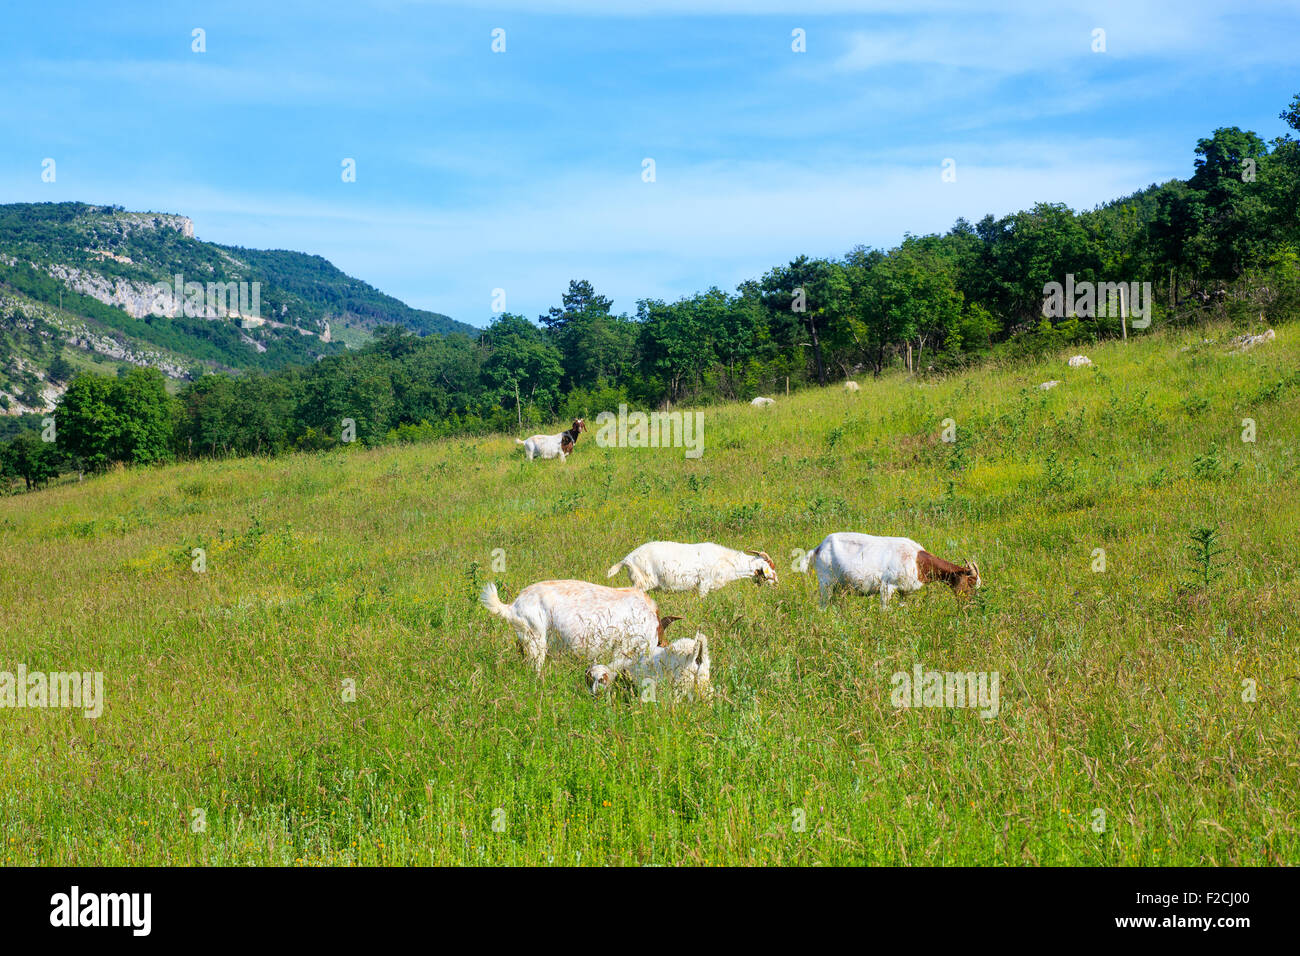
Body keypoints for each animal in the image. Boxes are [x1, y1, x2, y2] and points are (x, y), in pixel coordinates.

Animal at [796, 533, 980, 608]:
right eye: (971, 583)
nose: (969, 604)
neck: (917, 560)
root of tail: (818, 548)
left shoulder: (905, 591)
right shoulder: (887, 586)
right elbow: (884, 609)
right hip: (826, 581)